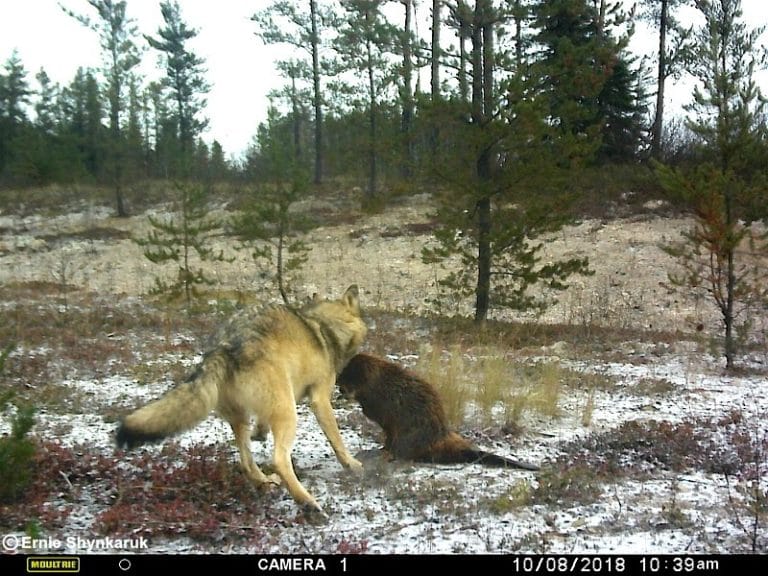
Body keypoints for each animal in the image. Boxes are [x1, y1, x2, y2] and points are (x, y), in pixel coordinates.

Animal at [116, 285, 367, 515]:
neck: (325, 327)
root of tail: (223, 345)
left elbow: (262, 426)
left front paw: (260, 435)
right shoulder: (320, 400)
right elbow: (337, 440)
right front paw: (351, 464)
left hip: (243, 418)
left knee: (246, 462)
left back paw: (266, 482)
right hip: (288, 414)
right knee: (278, 460)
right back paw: (308, 502)